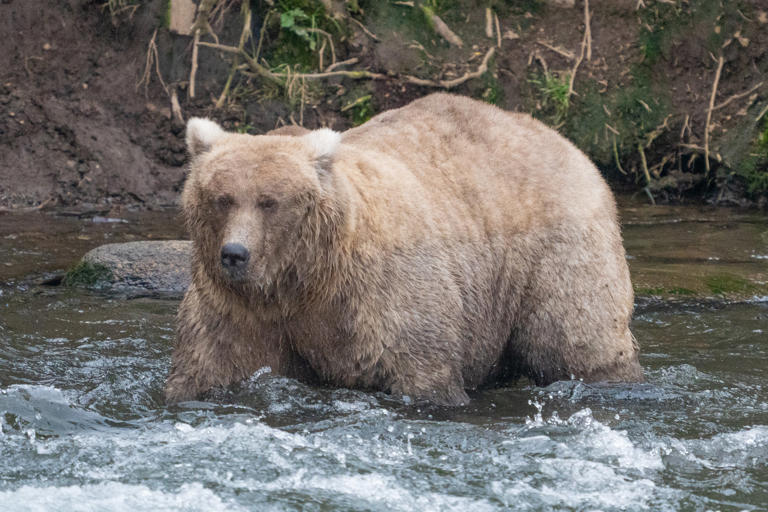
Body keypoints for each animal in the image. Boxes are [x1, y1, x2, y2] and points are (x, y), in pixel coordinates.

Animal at [165, 93, 643, 406]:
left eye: (269, 201)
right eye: (222, 198)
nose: (235, 253)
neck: (305, 278)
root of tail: (562, 140)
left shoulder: (382, 294)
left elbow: (420, 367)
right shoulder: (239, 309)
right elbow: (211, 364)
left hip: (555, 251)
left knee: (577, 338)